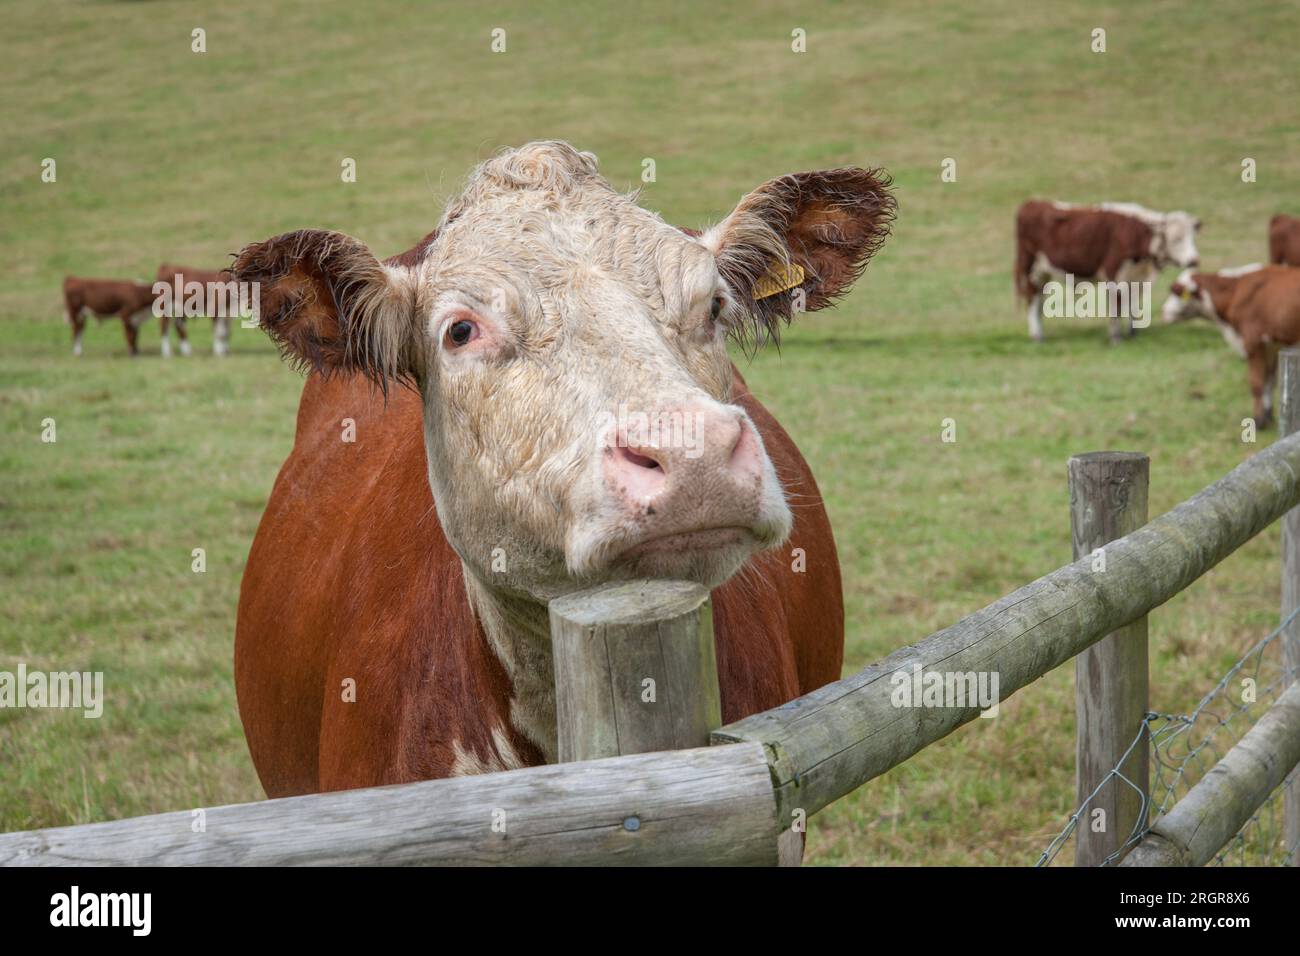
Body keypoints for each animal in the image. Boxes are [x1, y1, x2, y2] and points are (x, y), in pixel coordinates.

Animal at [1015, 200, 1200, 342]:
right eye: (1176, 239)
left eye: (1192, 237)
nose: (1194, 260)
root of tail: (1033, 202)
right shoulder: (1114, 273)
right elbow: (1116, 306)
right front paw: (1116, 337)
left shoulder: (1137, 278)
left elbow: (1133, 305)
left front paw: (1133, 333)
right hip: (1031, 269)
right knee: (1032, 299)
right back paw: (1037, 336)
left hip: (1044, 273)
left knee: (1038, 300)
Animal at [1160, 263, 1300, 427]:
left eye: (1176, 291)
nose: (1164, 312)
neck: (1236, 289)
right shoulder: (1272, 345)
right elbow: (1270, 381)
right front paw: (1267, 416)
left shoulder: (1253, 342)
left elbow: (1256, 384)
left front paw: (1258, 421)